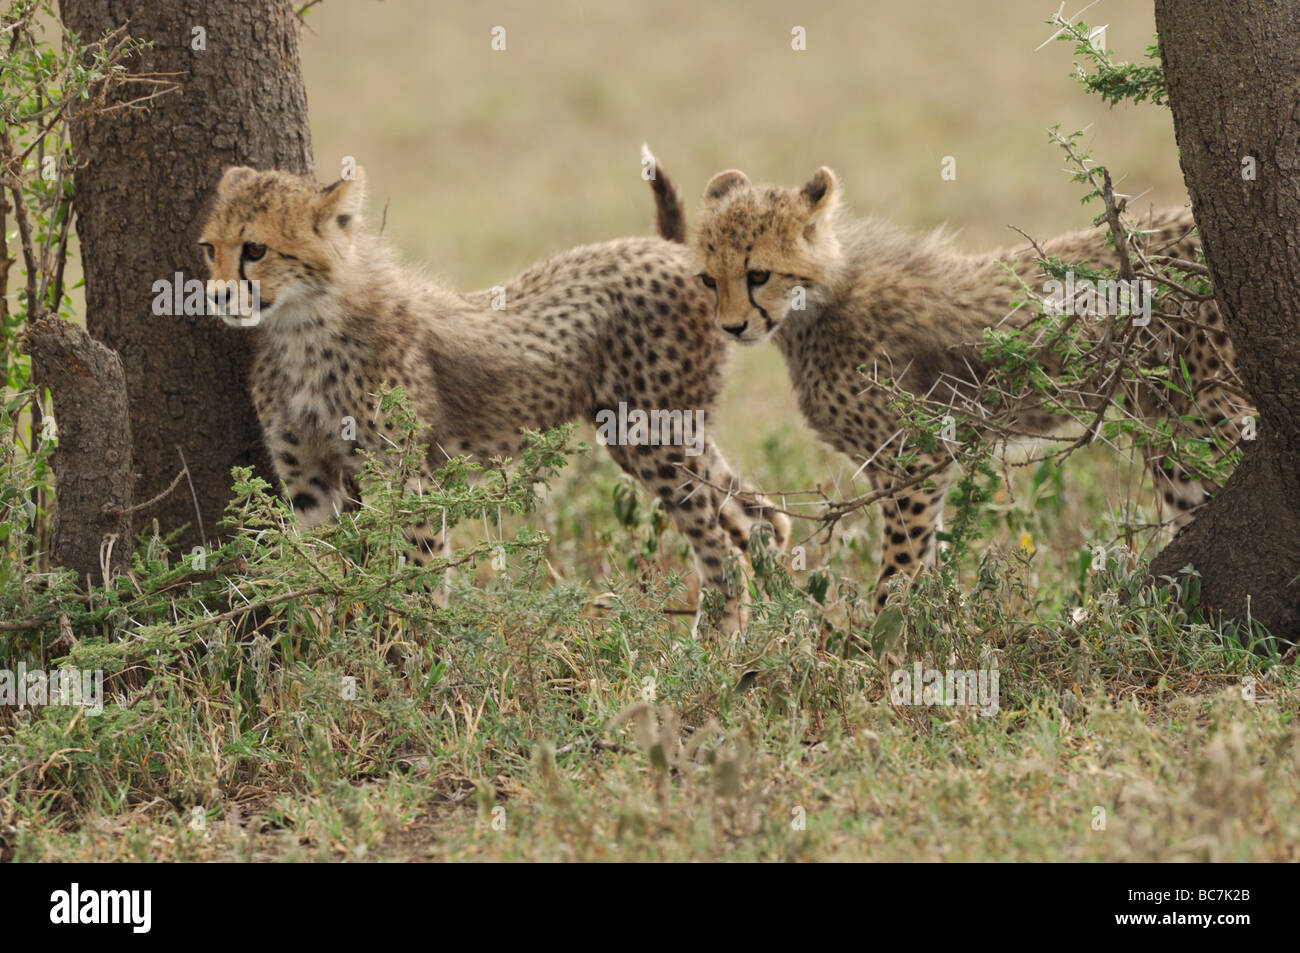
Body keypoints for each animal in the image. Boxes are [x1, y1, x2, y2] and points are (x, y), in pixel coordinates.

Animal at [195, 150, 787, 636]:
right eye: (209, 249)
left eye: (255, 248)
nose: (217, 295)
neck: (303, 326)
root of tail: (662, 248)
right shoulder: (309, 482)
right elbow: (321, 566)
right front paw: (329, 649)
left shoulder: (408, 478)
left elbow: (419, 574)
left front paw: (416, 658)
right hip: (667, 431)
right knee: (757, 516)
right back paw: (780, 616)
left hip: (651, 435)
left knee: (719, 538)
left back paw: (715, 647)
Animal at [688, 164, 1252, 611]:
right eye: (709, 279)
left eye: (758, 274)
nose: (730, 328)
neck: (816, 306)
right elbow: (925, 564)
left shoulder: (913, 460)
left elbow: (898, 570)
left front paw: (882, 652)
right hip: (1168, 421)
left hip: (1212, 402)